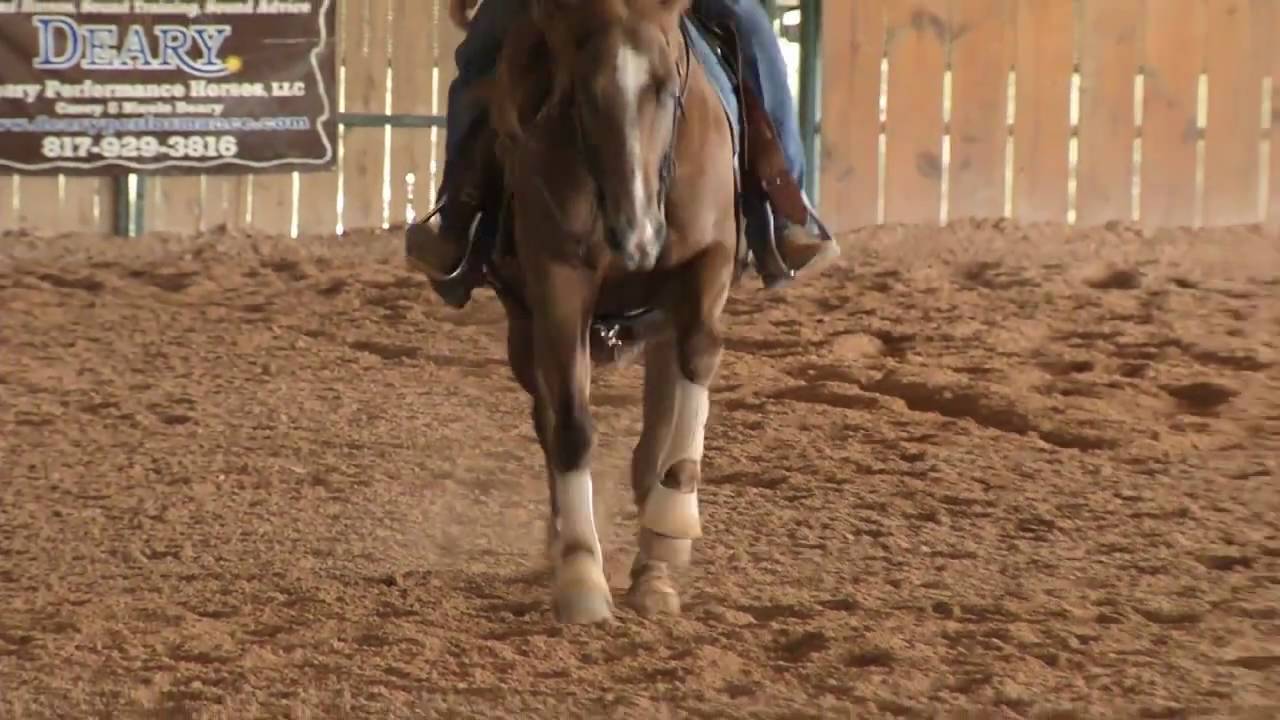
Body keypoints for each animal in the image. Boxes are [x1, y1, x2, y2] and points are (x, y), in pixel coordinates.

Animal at [467, 0, 747, 624]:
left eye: (665, 86)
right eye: (580, 93)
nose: (636, 235)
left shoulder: (709, 258)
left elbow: (700, 359)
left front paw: (673, 522)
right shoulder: (558, 282)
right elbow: (571, 428)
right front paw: (580, 574)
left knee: (654, 437)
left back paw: (656, 568)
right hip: (526, 331)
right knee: (550, 422)